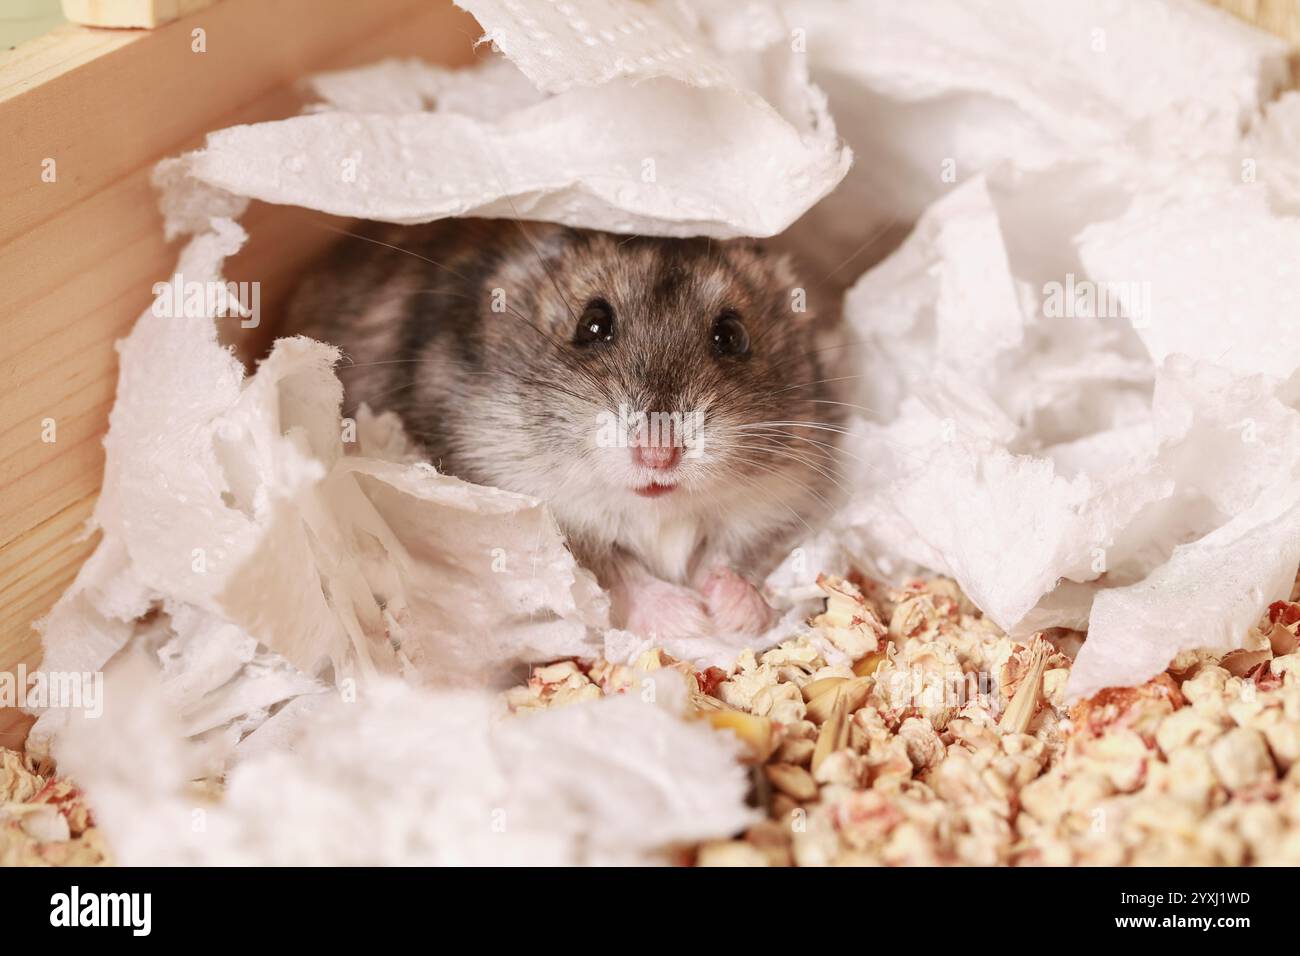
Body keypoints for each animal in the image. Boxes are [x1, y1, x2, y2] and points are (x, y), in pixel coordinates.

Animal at [283, 218, 848, 639]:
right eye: (591, 325)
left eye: (731, 335)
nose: (658, 455)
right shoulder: (530, 514)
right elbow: (609, 569)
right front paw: (687, 621)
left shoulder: (776, 501)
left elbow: (733, 554)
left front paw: (734, 613)